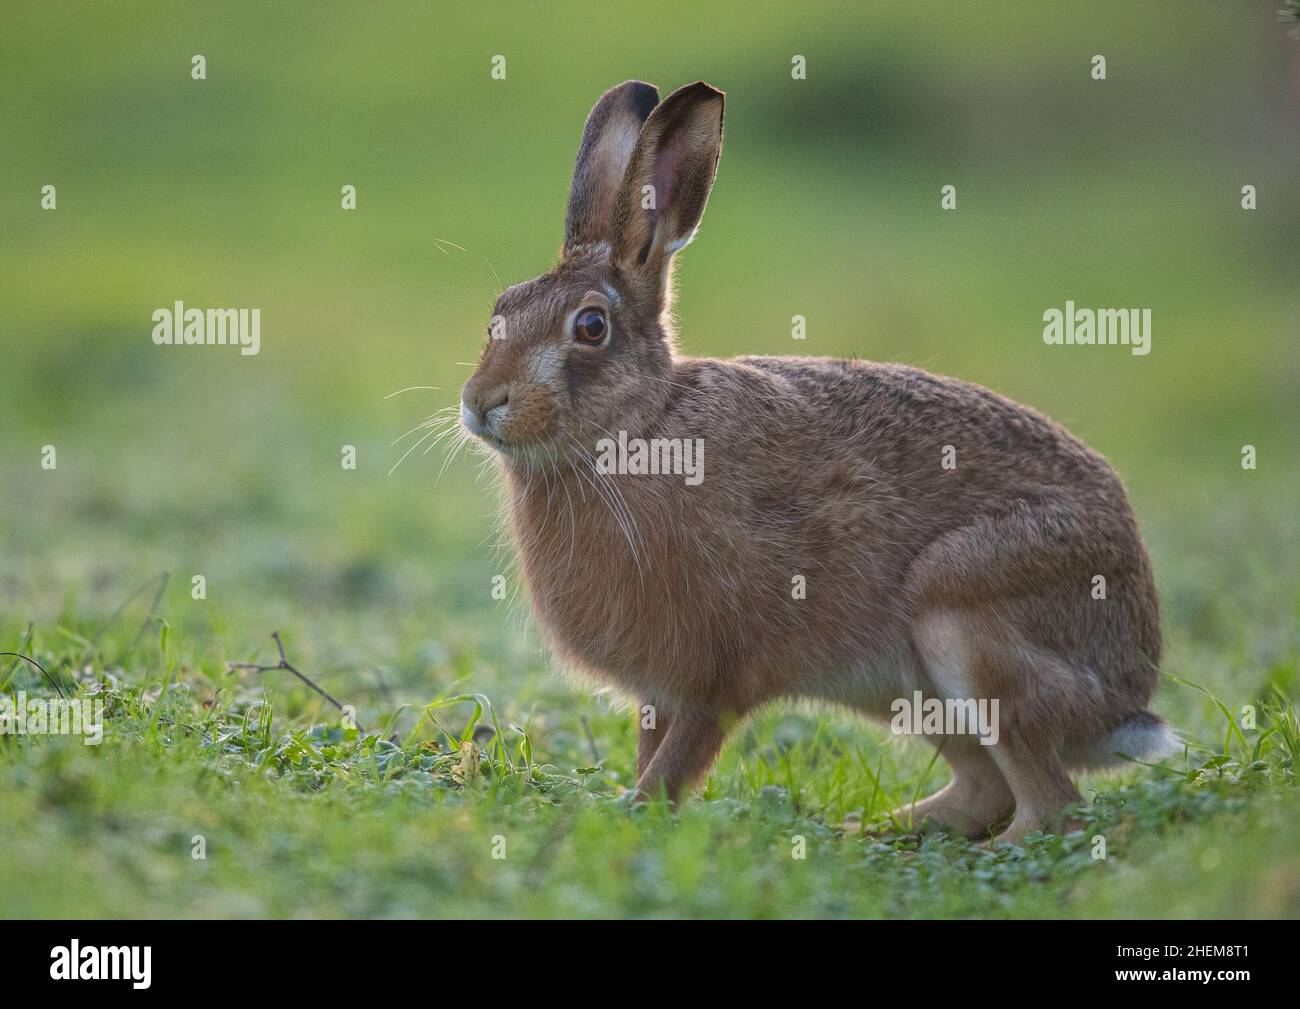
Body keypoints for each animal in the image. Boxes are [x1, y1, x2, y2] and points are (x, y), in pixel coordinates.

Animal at [459, 80, 1175, 843]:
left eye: (590, 327)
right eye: (501, 310)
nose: (480, 402)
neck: (636, 432)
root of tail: (1128, 692)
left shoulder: (718, 676)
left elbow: (676, 762)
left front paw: (631, 816)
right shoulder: (661, 690)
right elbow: (656, 752)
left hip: (960, 618)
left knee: (1050, 807)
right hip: (912, 685)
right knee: (988, 788)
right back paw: (872, 830)